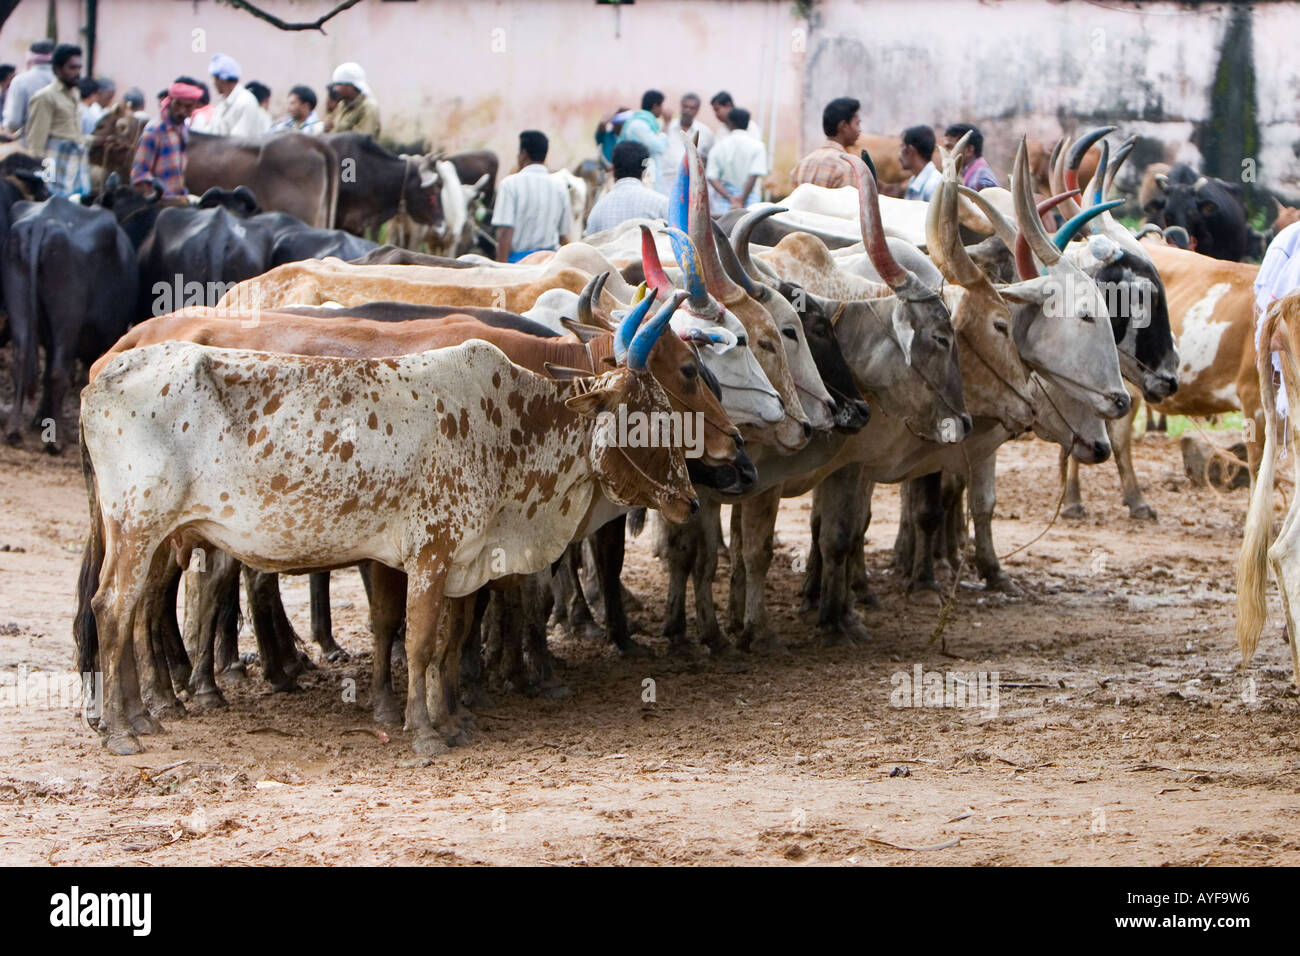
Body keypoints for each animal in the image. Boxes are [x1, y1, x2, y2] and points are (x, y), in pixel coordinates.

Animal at [3, 196, 137, 451]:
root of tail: (42, 220)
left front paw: (39, 418)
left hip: (19, 303)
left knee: (22, 359)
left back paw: (14, 430)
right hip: (67, 316)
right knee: (57, 370)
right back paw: (55, 442)